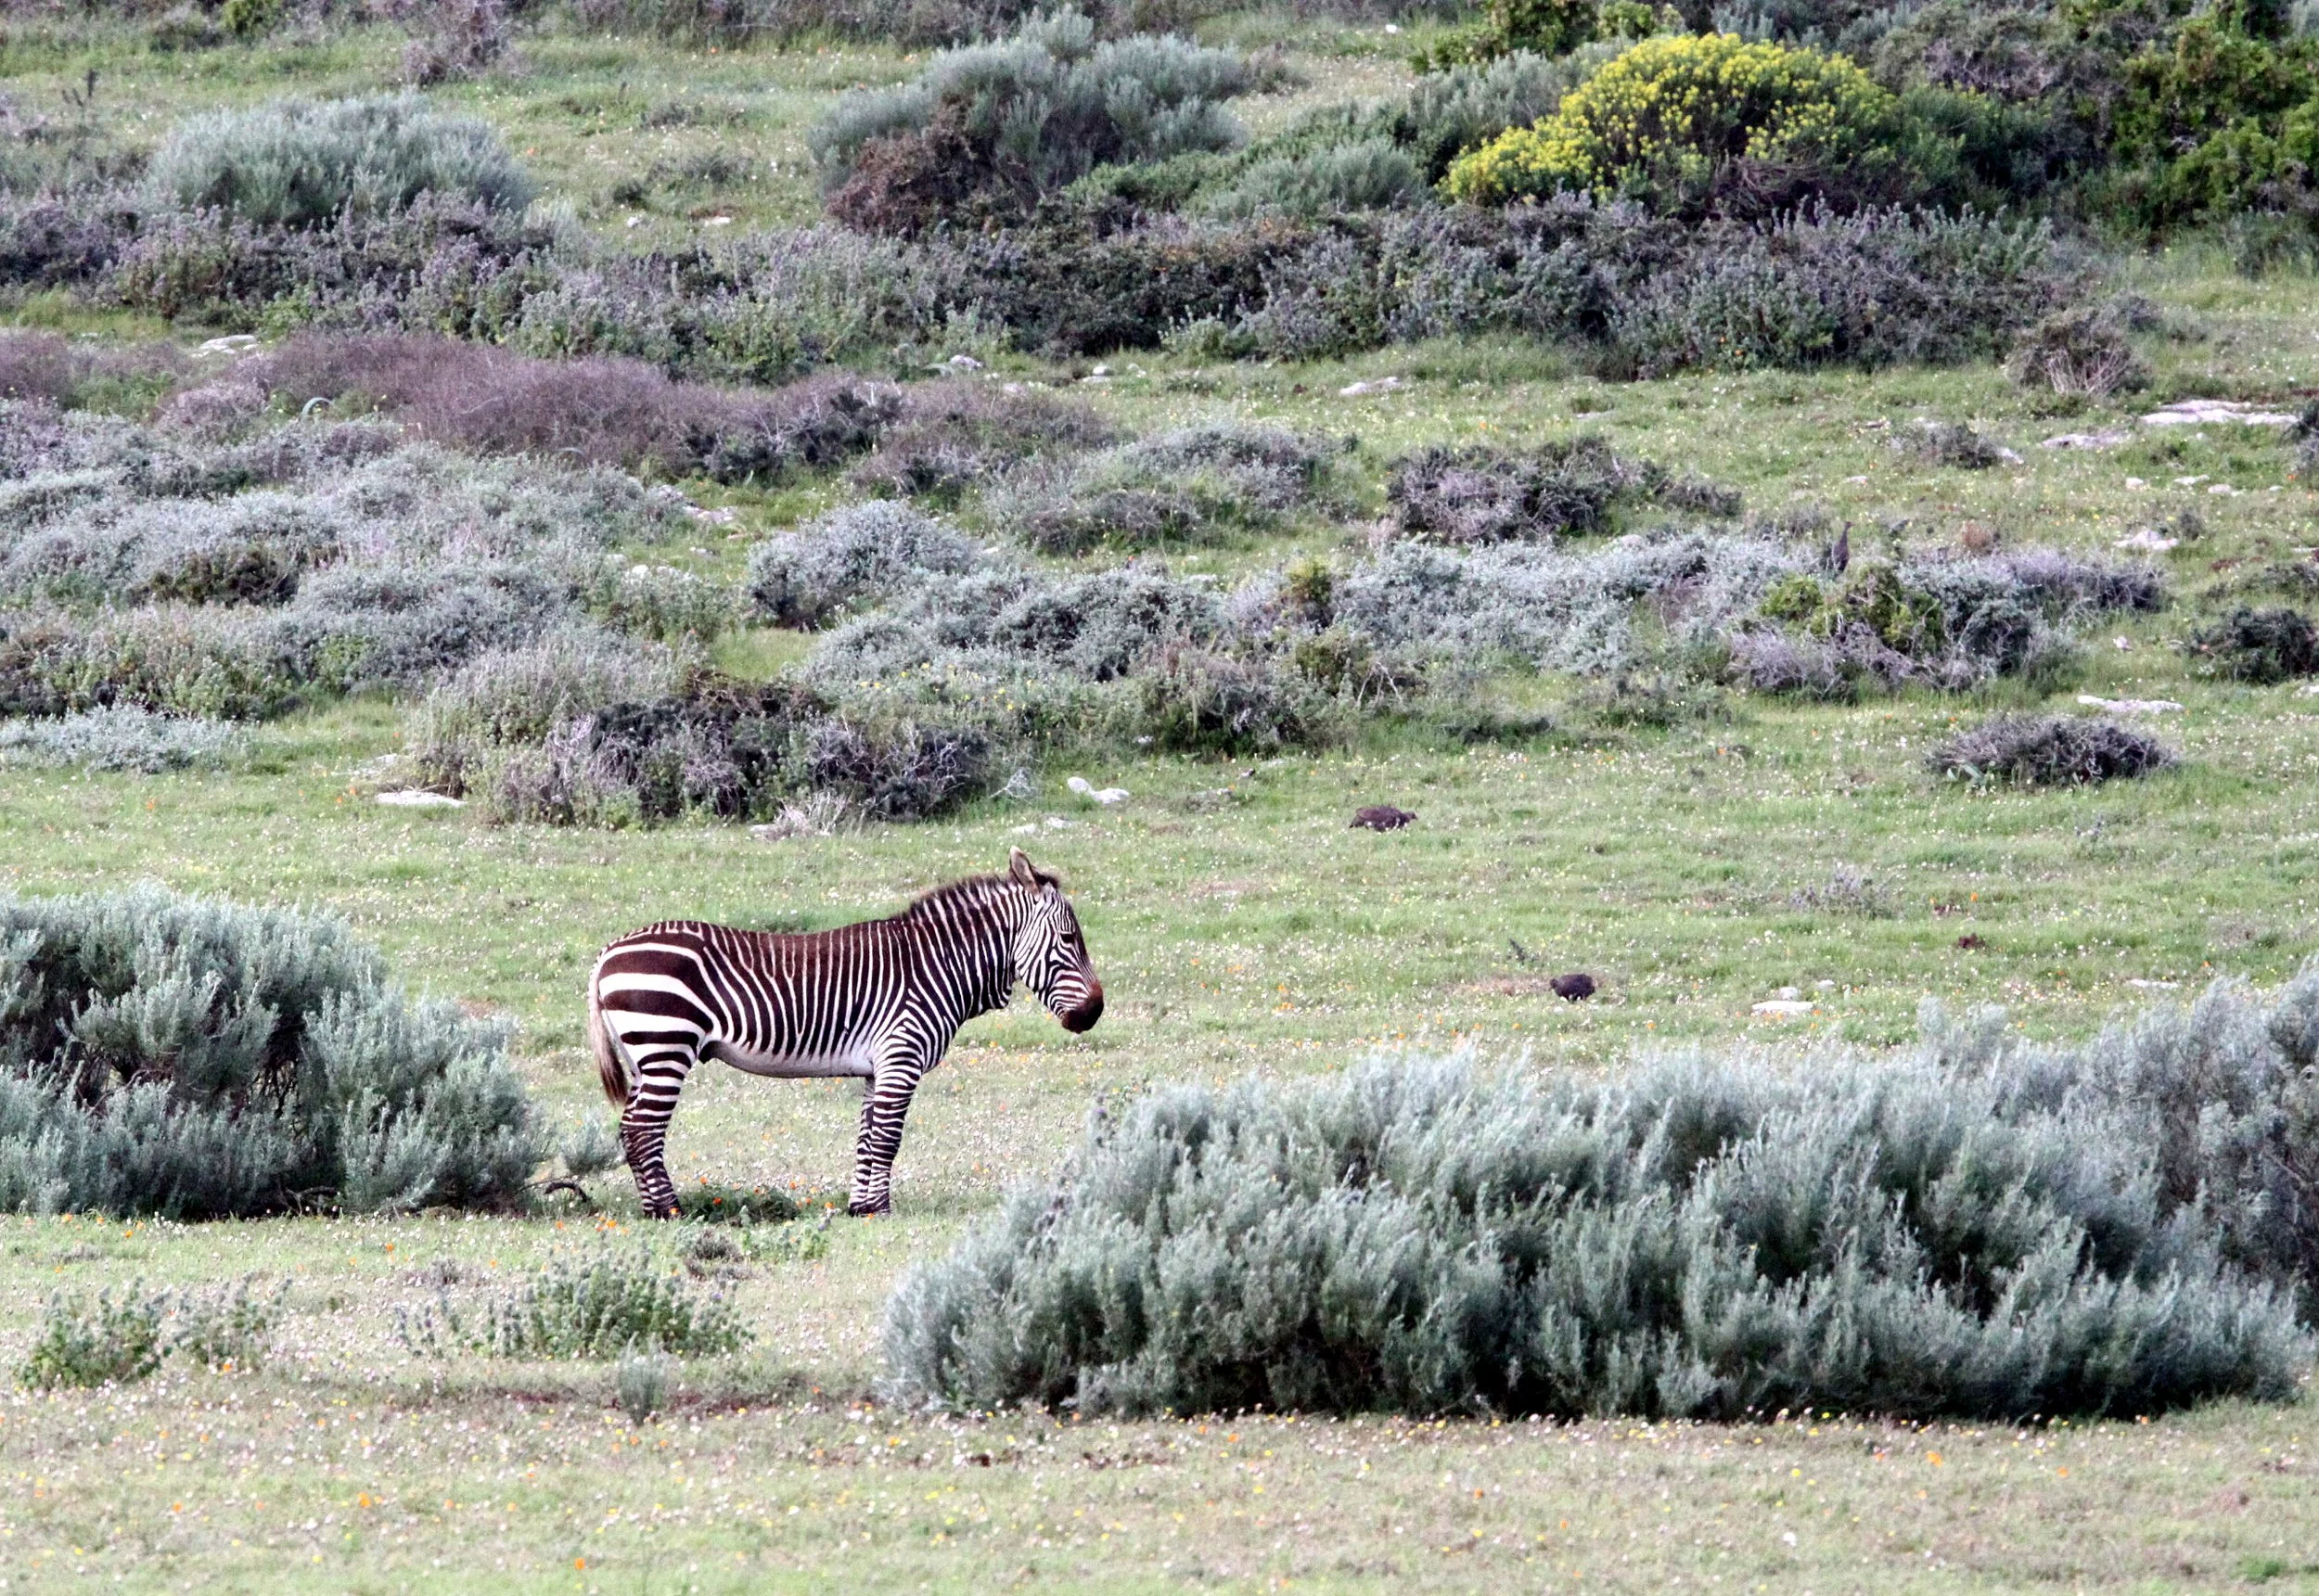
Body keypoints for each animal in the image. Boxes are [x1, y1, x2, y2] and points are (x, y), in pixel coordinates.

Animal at [586, 848, 1103, 1218]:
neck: (938, 965)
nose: (1095, 1012)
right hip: (665, 1046)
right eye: (1069, 939)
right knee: (643, 1130)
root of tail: (608, 950)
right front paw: (881, 1211)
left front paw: (862, 1207)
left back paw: (654, 1208)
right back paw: (668, 1211)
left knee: (630, 1129)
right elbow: (888, 1139)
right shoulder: (901, 1056)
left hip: (645, 1057)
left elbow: (867, 1136)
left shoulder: (879, 1067)